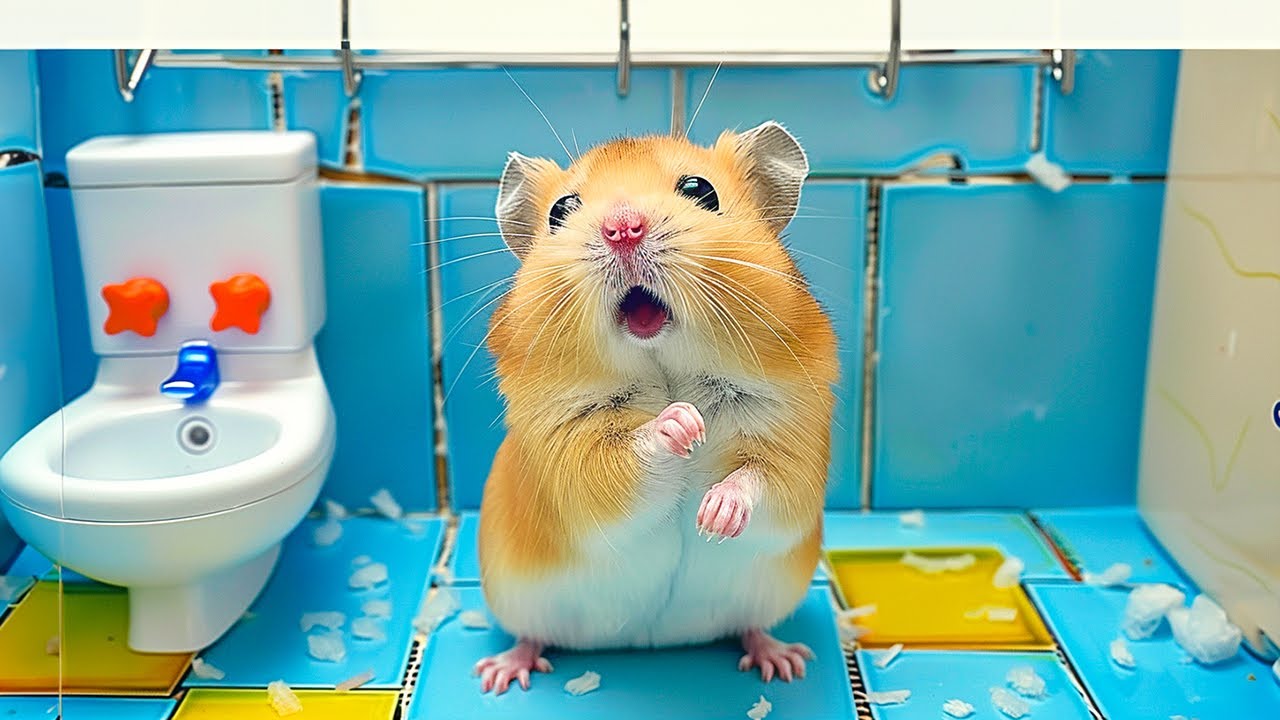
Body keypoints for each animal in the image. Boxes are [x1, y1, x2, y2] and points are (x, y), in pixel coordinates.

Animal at [474, 121, 838, 694]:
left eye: (699, 190)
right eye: (561, 209)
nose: (623, 229)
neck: (665, 367)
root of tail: (650, 640)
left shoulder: (792, 437)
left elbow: (763, 479)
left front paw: (715, 517)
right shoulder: (566, 450)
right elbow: (621, 459)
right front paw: (684, 424)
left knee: (752, 628)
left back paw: (784, 662)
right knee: (532, 637)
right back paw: (500, 674)